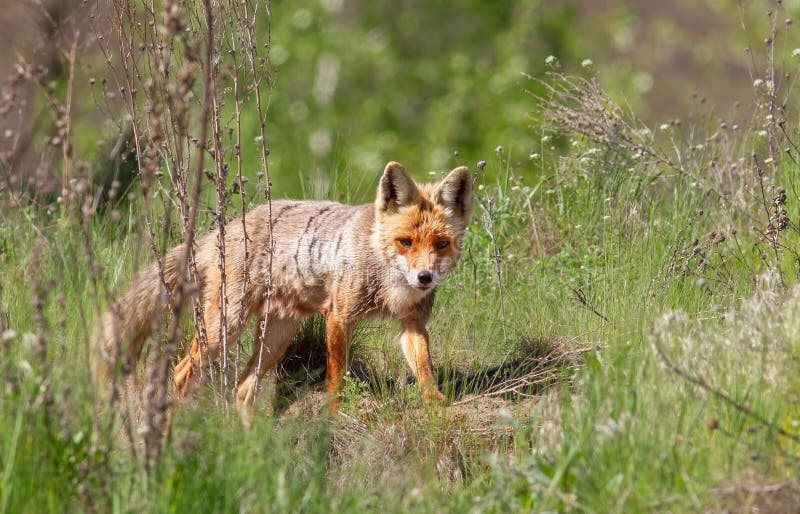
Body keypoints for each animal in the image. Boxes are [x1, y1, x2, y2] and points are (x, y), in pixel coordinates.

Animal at [93, 161, 473, 415]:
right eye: (405, 242)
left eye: (441, 244)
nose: (424, 278)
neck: (387, 277)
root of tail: (223, 231)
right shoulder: (339, 317)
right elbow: (336, 376)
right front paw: (333, 414)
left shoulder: (412, 324)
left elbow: (424, 368)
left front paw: (435, 402)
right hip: (224, 328)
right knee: (179, 375)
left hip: (277, 336)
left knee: (242, 390)